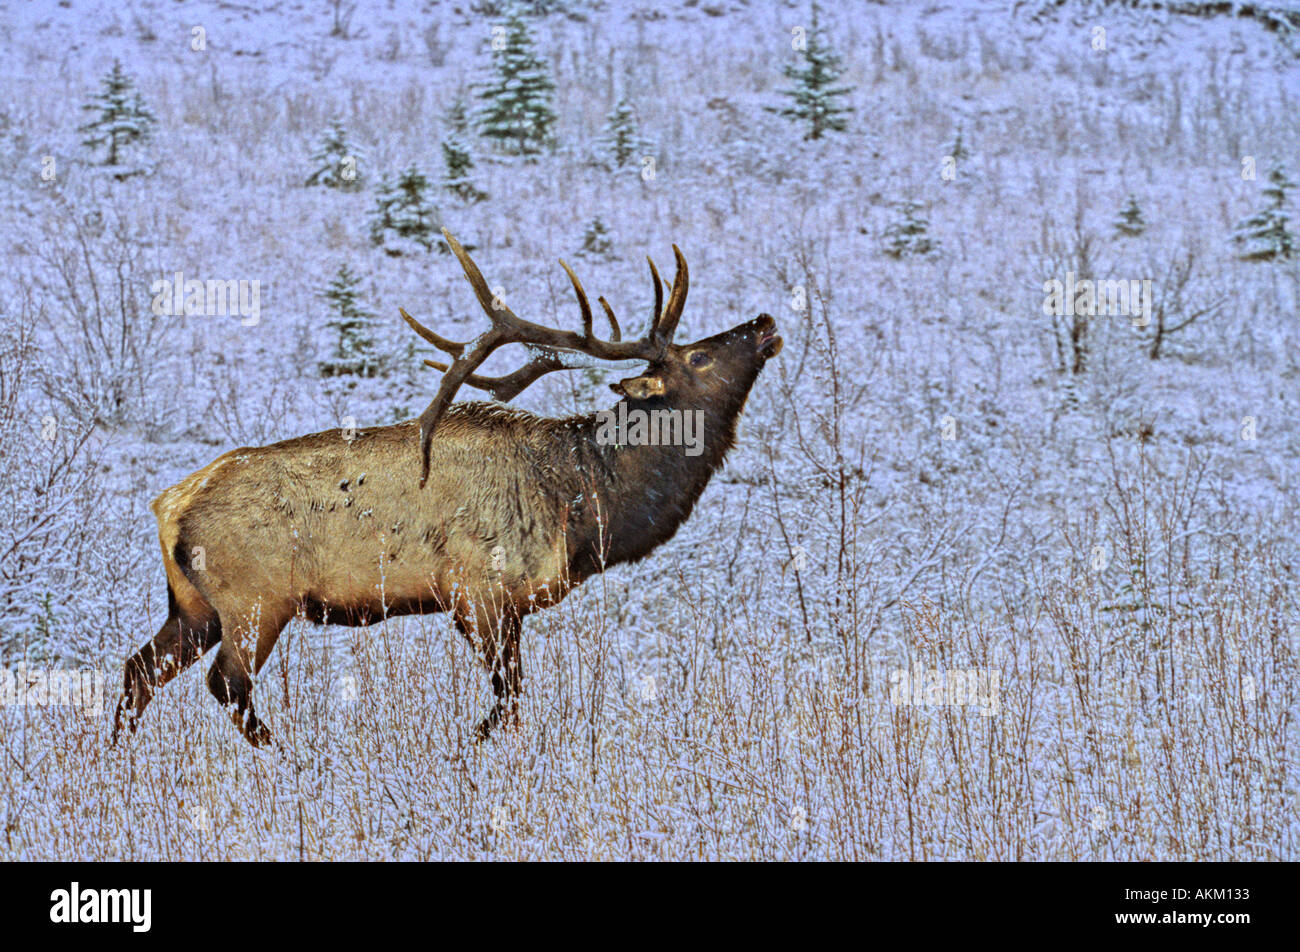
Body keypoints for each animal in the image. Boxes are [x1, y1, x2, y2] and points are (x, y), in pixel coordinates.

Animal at [111, 229, 782, 747]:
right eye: (696, 358)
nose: (764, 321)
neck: (582, 507)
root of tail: (169, 507)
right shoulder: (478, 592)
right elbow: (507, 703)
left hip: (194, 607)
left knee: (138, 668)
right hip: (256, 599)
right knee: (226, 684)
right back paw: (289, 759)